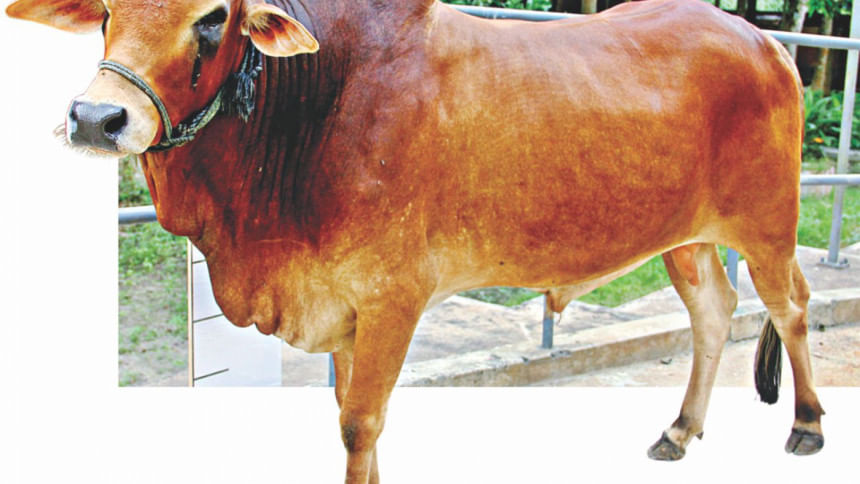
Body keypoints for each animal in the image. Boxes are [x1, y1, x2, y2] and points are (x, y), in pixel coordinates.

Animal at [7, 0, 825, 482]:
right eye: (107, 8)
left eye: (212, 17)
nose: (96, 118)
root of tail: (764, 39)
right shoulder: (340, 310)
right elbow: (346, 416)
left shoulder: (392, 299)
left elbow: (358, 423)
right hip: (686, 239)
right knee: (714, 313)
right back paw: (680, 430)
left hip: (768, 226)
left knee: (791, 307)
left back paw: (808, 426)